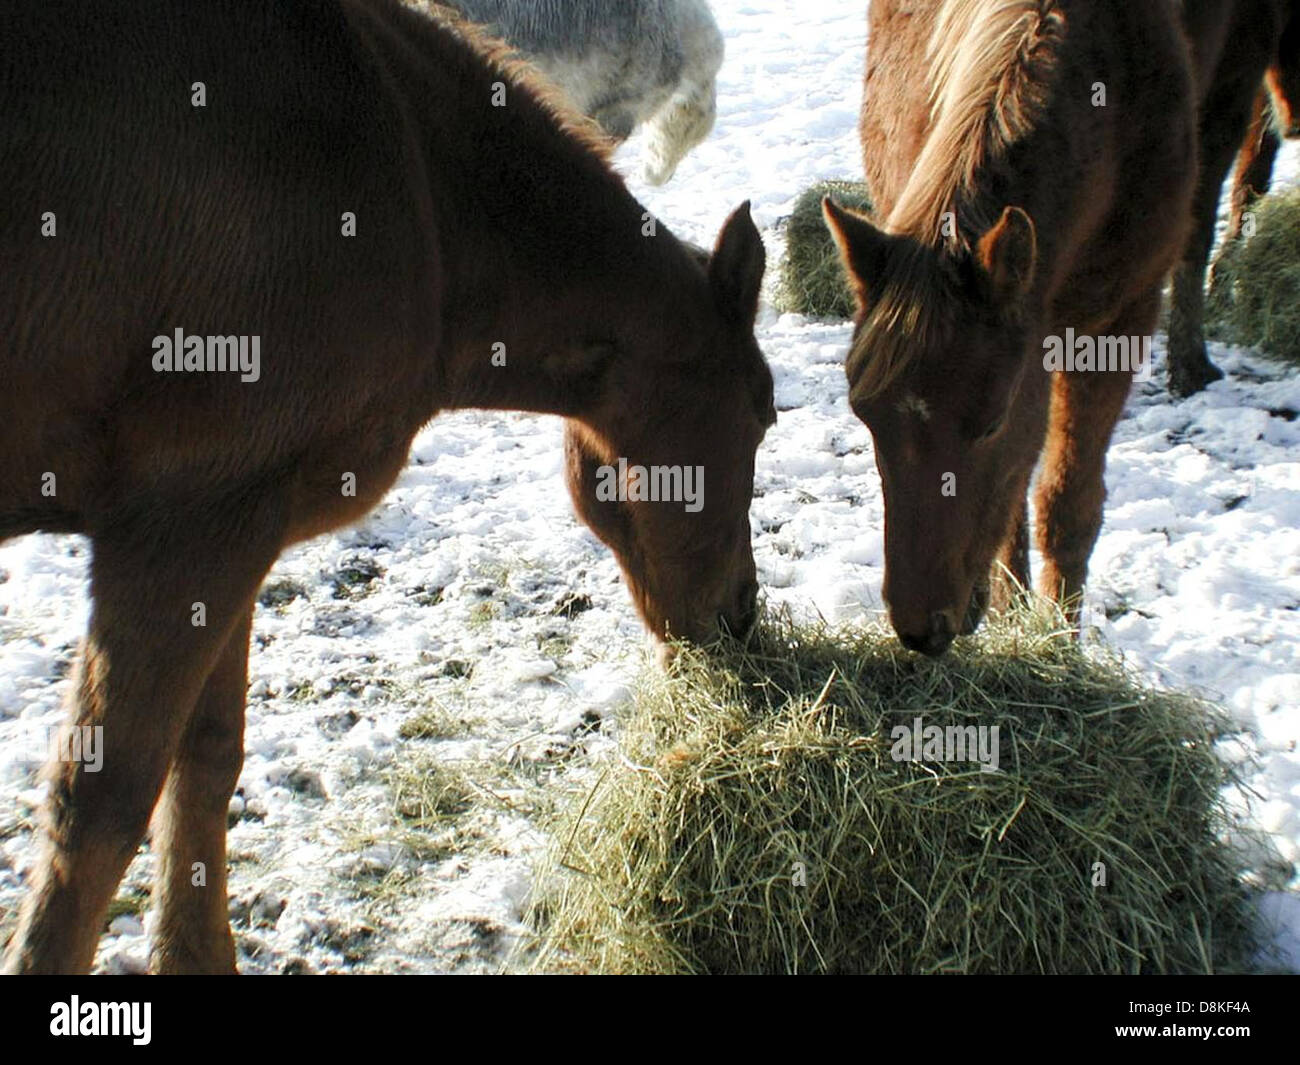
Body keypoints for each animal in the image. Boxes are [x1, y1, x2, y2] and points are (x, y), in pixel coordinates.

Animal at [824, 0, 1197, 656]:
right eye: (865, 416)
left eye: (993, 420)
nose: (919, 629)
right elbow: (1011, 509)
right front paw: (1011, 611)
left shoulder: (1120, 322)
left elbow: (1068, 506)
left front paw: (1062, 642)